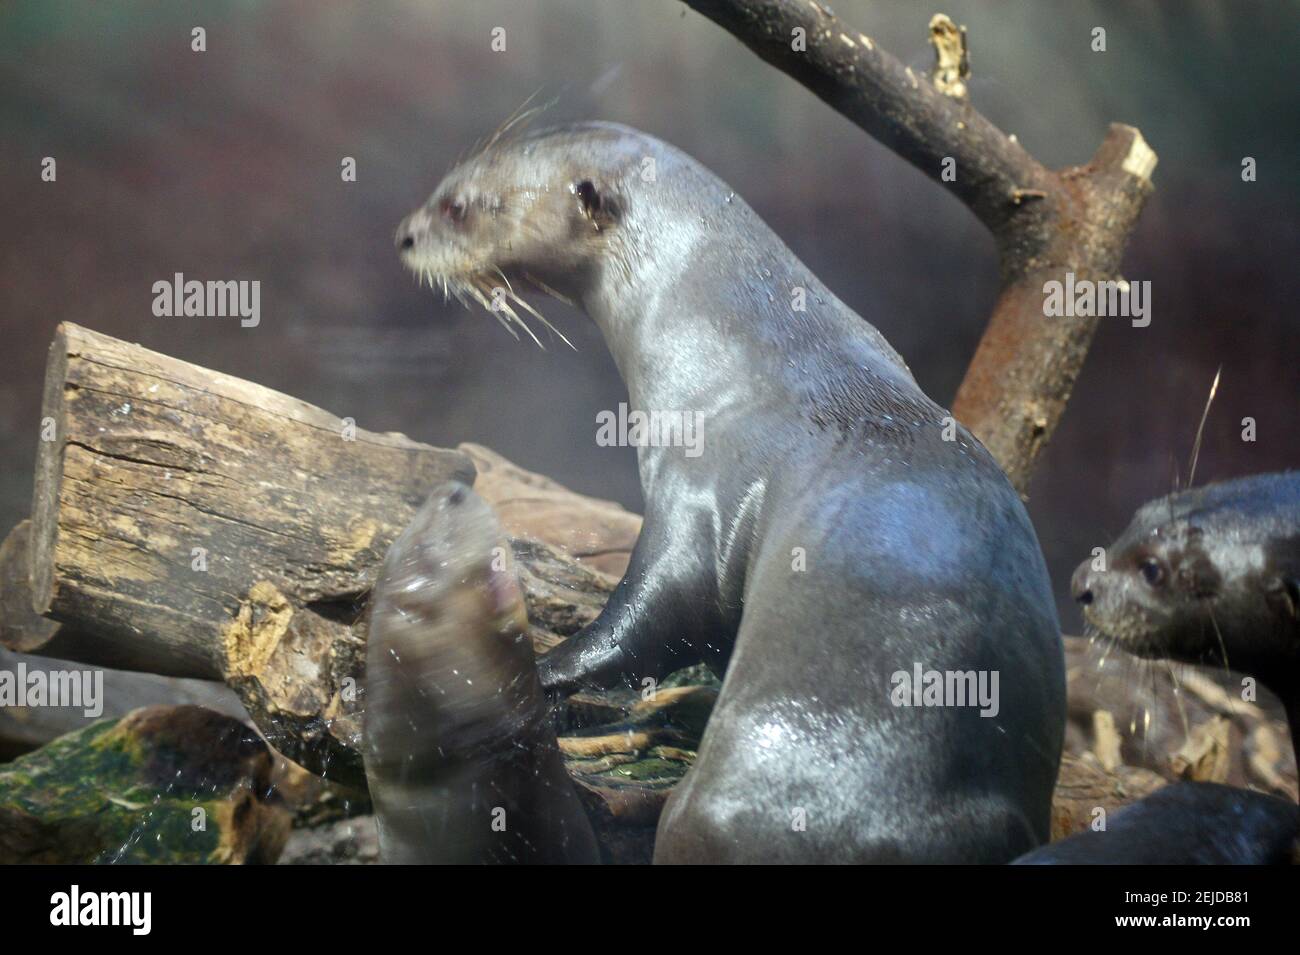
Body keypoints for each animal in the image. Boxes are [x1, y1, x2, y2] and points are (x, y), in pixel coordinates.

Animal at [393, 122, 1064, 863]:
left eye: (459, 205)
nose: (404, 235)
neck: (742, 351)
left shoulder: (695, 505)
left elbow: (646, 622)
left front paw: (542, 675)